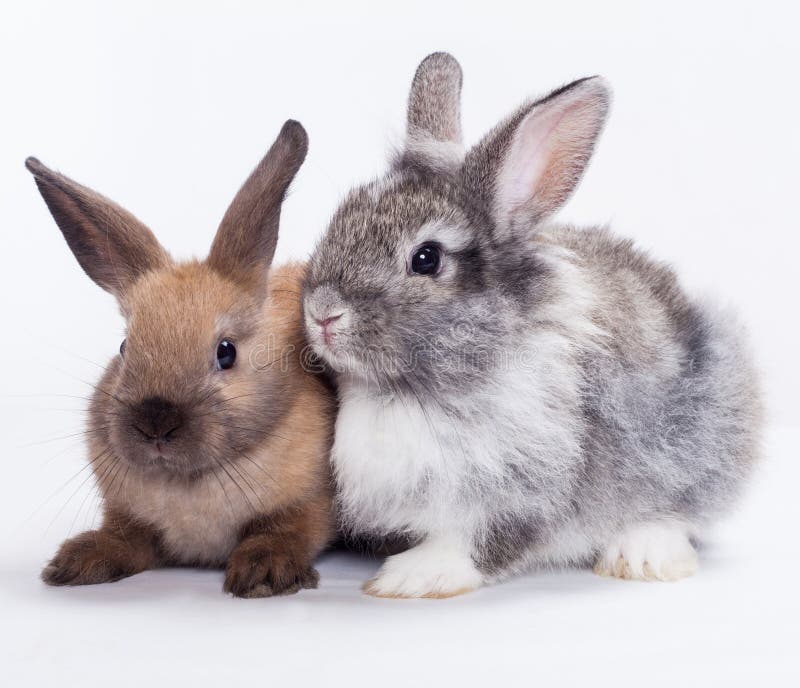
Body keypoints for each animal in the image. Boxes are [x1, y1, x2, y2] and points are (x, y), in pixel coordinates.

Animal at [27, 120, 337, 598]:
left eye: (225, 352)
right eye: (125, 347)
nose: (155, 423)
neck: (186, 482)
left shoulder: (311, 503)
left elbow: (287, 529)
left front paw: (263, 573)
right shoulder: (132, 520)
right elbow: (125, 538)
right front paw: (76, 562)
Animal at [302, 53, 763, 598]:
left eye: (426, 258)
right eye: (342, 215)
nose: (322, 312)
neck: (411, 390)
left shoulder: (534, 485)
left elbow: (479, 541)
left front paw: (411, 577)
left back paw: (643, 554)